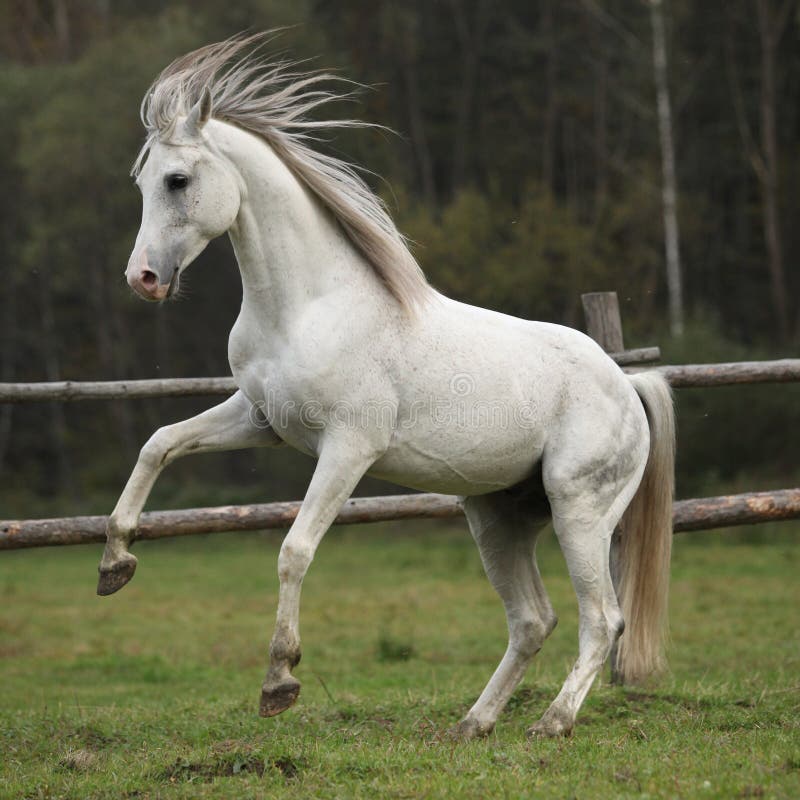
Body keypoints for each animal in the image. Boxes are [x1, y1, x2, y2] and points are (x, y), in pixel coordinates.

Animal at [98, 34, 675, 740]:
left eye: (178, 180)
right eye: (143, 180)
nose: (144, 278)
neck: (309, 306)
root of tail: (627, 384)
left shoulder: (348, 448)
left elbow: (294, 549)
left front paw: (279, 683)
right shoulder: (259, 420)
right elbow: (159, 442)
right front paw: (115, 564)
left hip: (580, 511)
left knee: (602, 620)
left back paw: (552, 723)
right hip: (497, 517)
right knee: (533, 621)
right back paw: (473, 724)